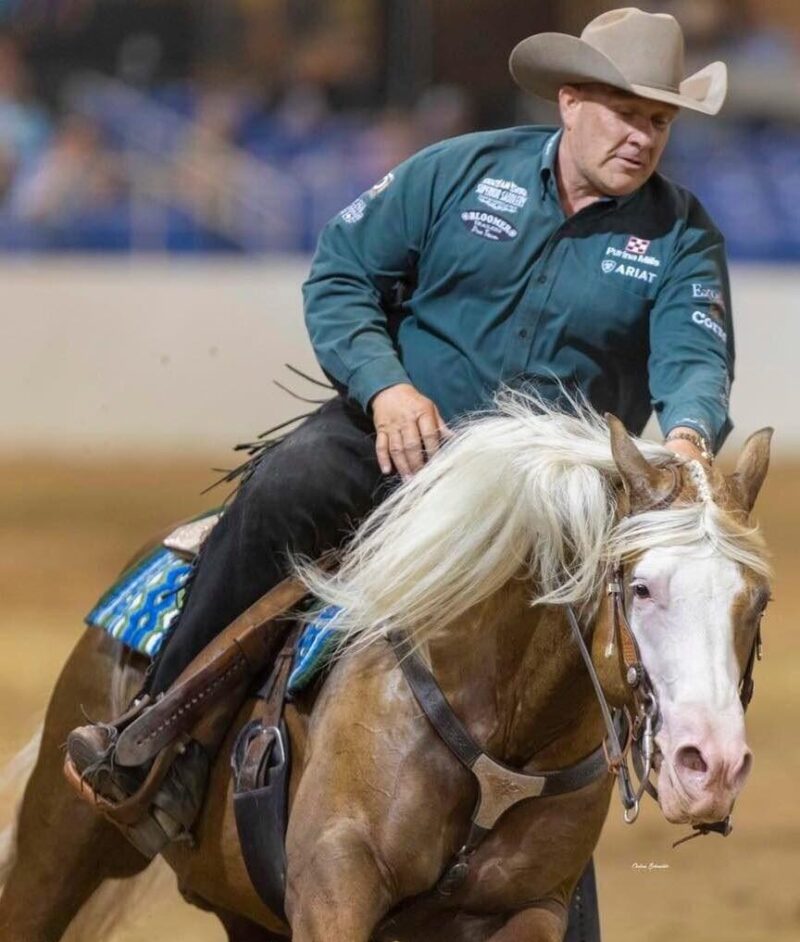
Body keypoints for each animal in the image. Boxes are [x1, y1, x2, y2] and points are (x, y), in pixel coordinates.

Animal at [0, 395, 772, 942]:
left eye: (758, 599)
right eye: (641, 587)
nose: (712, 765)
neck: (498, 721)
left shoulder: (529, 911)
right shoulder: (335, 890)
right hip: (62, 836)